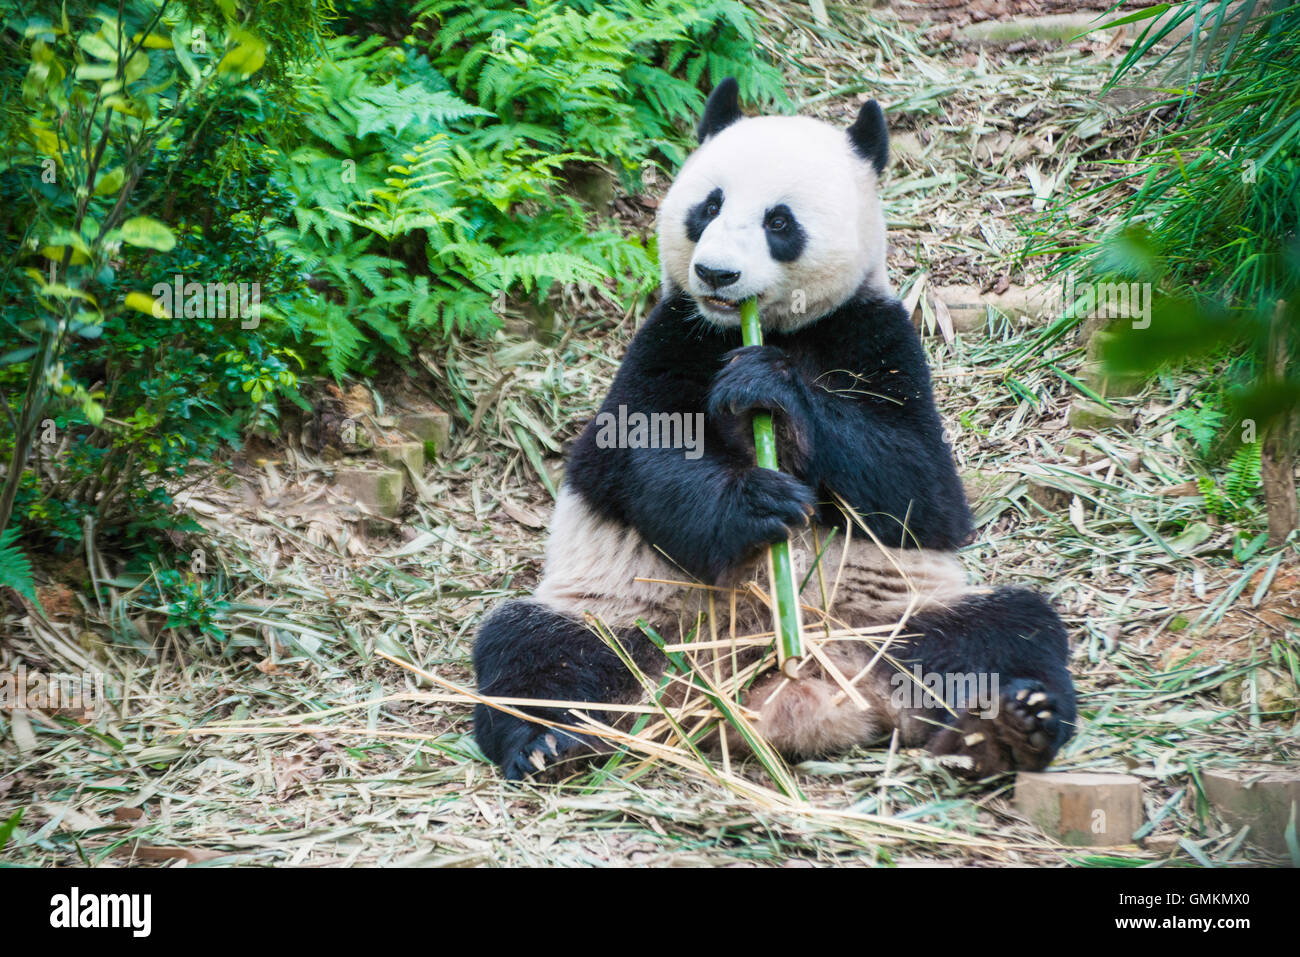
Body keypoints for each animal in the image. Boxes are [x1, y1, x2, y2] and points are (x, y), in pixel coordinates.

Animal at [473, 79, 1077, 781]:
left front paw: (772, 394)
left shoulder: (876, 336)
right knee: (535, 651)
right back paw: (546, 743)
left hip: (897, 621)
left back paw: (1010, 726)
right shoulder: (673, 333)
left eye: (779, 222)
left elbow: (924, 492)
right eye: (708, 206)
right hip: (624, 619)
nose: (716, 274)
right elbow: (625, 458)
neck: (761, 329)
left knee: (1008, 630)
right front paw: (756, 503)